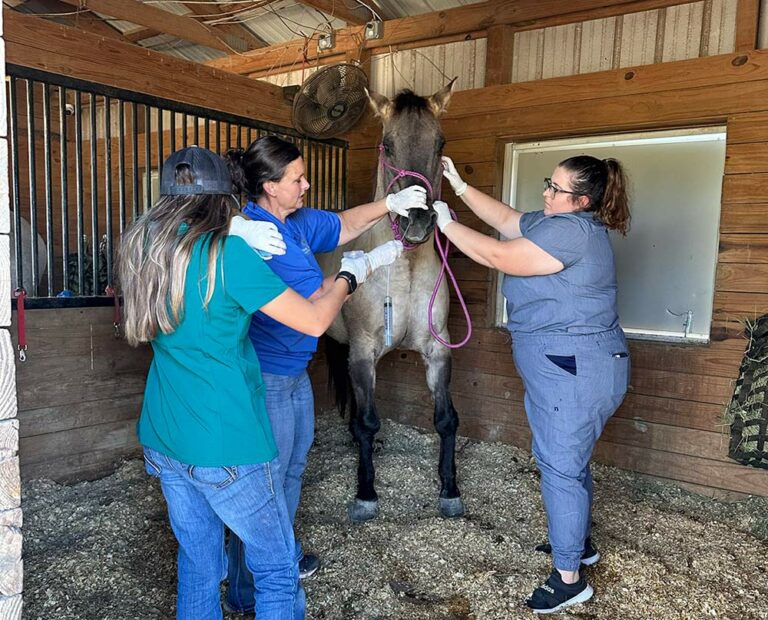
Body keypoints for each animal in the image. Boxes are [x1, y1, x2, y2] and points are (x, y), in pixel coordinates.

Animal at [319, 80, 464, 523]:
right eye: (387, 143)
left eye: (440, 142)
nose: (417, 220)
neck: (406, 268)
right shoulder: (364, 351)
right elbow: (369, 420)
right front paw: (366, 494)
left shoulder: (438, 350)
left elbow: (446, 420)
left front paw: (449, 490)